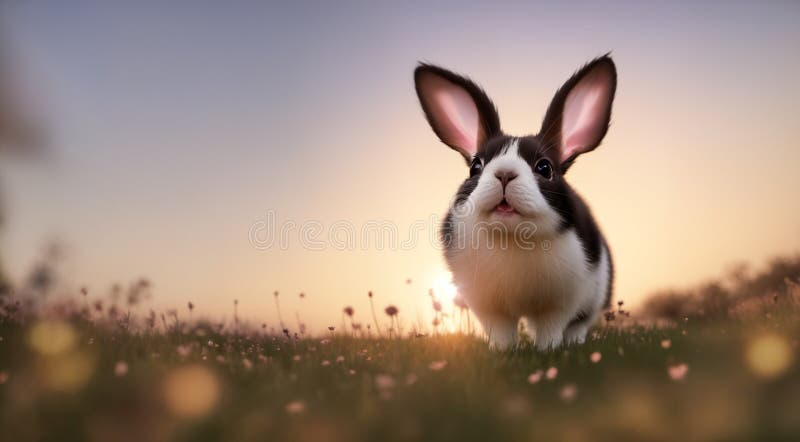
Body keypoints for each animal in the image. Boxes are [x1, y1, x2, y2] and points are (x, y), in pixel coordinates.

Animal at [414, 55, 616, 350]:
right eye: (476, 166)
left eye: (545, 167)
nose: (505, 174)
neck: (511, 236)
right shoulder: (489, 307)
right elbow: (501, 331)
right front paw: (502, 351)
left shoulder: (559, 305)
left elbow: (550, 329)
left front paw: (548, 351)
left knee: (578, 325)